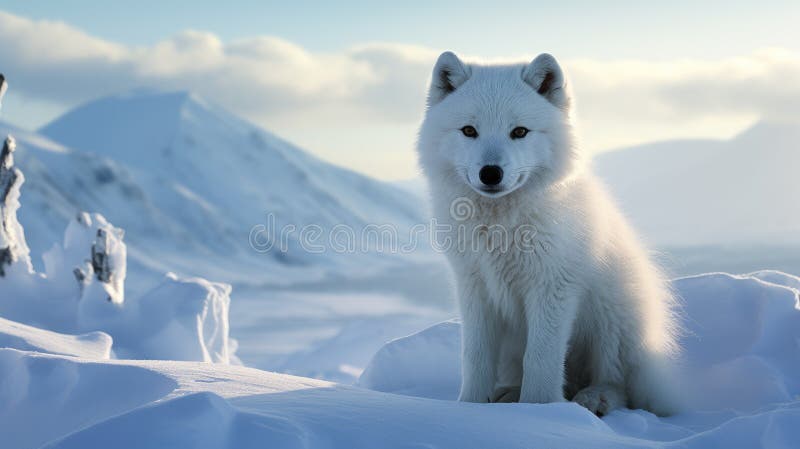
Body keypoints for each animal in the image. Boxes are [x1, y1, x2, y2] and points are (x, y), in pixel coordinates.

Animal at [416, 51, 679, 416]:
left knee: (618, 384)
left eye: (519, 132)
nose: (490, 173)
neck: (500, 227)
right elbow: (476, 358)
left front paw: (540, 411)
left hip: (610, 318)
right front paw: (470, 408)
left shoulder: (552, 287)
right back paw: (508, 394)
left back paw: (594, 399)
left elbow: (540, 360)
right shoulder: (474, 288)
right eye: (469, 130)